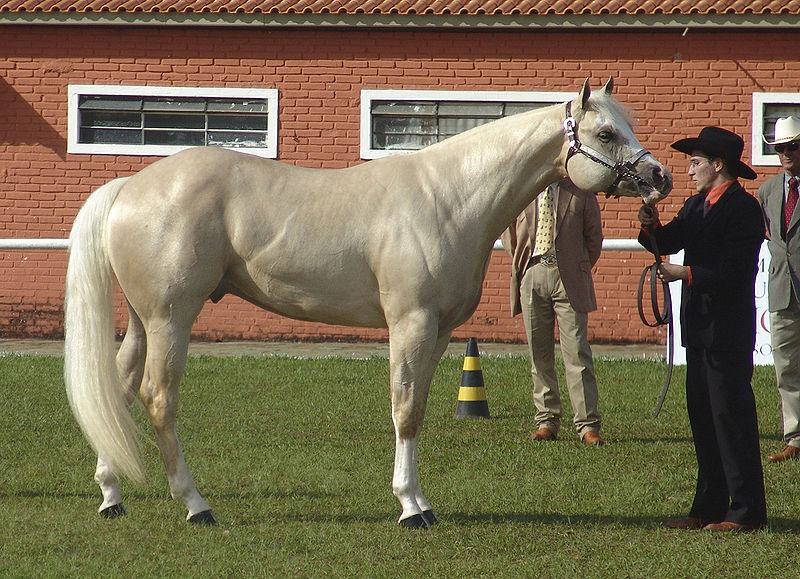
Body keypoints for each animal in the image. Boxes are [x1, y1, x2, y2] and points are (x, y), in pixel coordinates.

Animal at [64, 77, 672, 529]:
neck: (448, 197)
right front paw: (409, 507)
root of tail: (131, 185)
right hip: (171, 317)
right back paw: (196, 505)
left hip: (143, 320)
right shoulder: (410, 323)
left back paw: (112, 495)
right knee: (157, 397)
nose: (659, 177)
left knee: (120, 385)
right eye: (605, 131)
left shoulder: (441, 332)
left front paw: (421, 501)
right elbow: (404, 410)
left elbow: (418, 407)